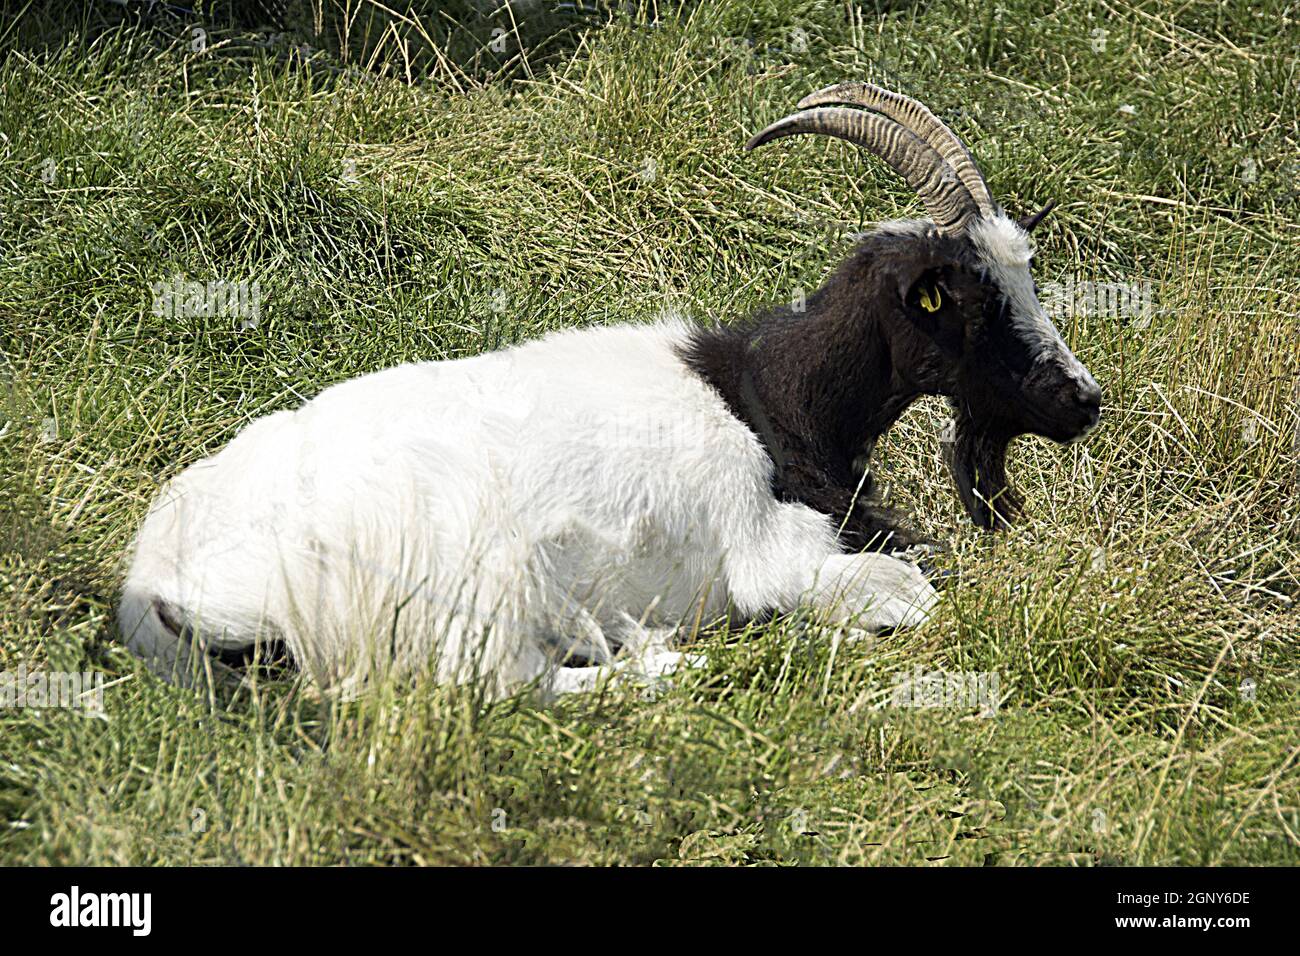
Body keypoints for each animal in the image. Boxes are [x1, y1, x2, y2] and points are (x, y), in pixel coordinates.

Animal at [118, 82, 1101, 698]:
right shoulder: (774, 554)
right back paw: (676, 659)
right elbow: (918, 594)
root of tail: (161, 584)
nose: (1082, 399)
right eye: (972, 300)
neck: (766, 400)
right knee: (501, 688)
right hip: (470, 590)